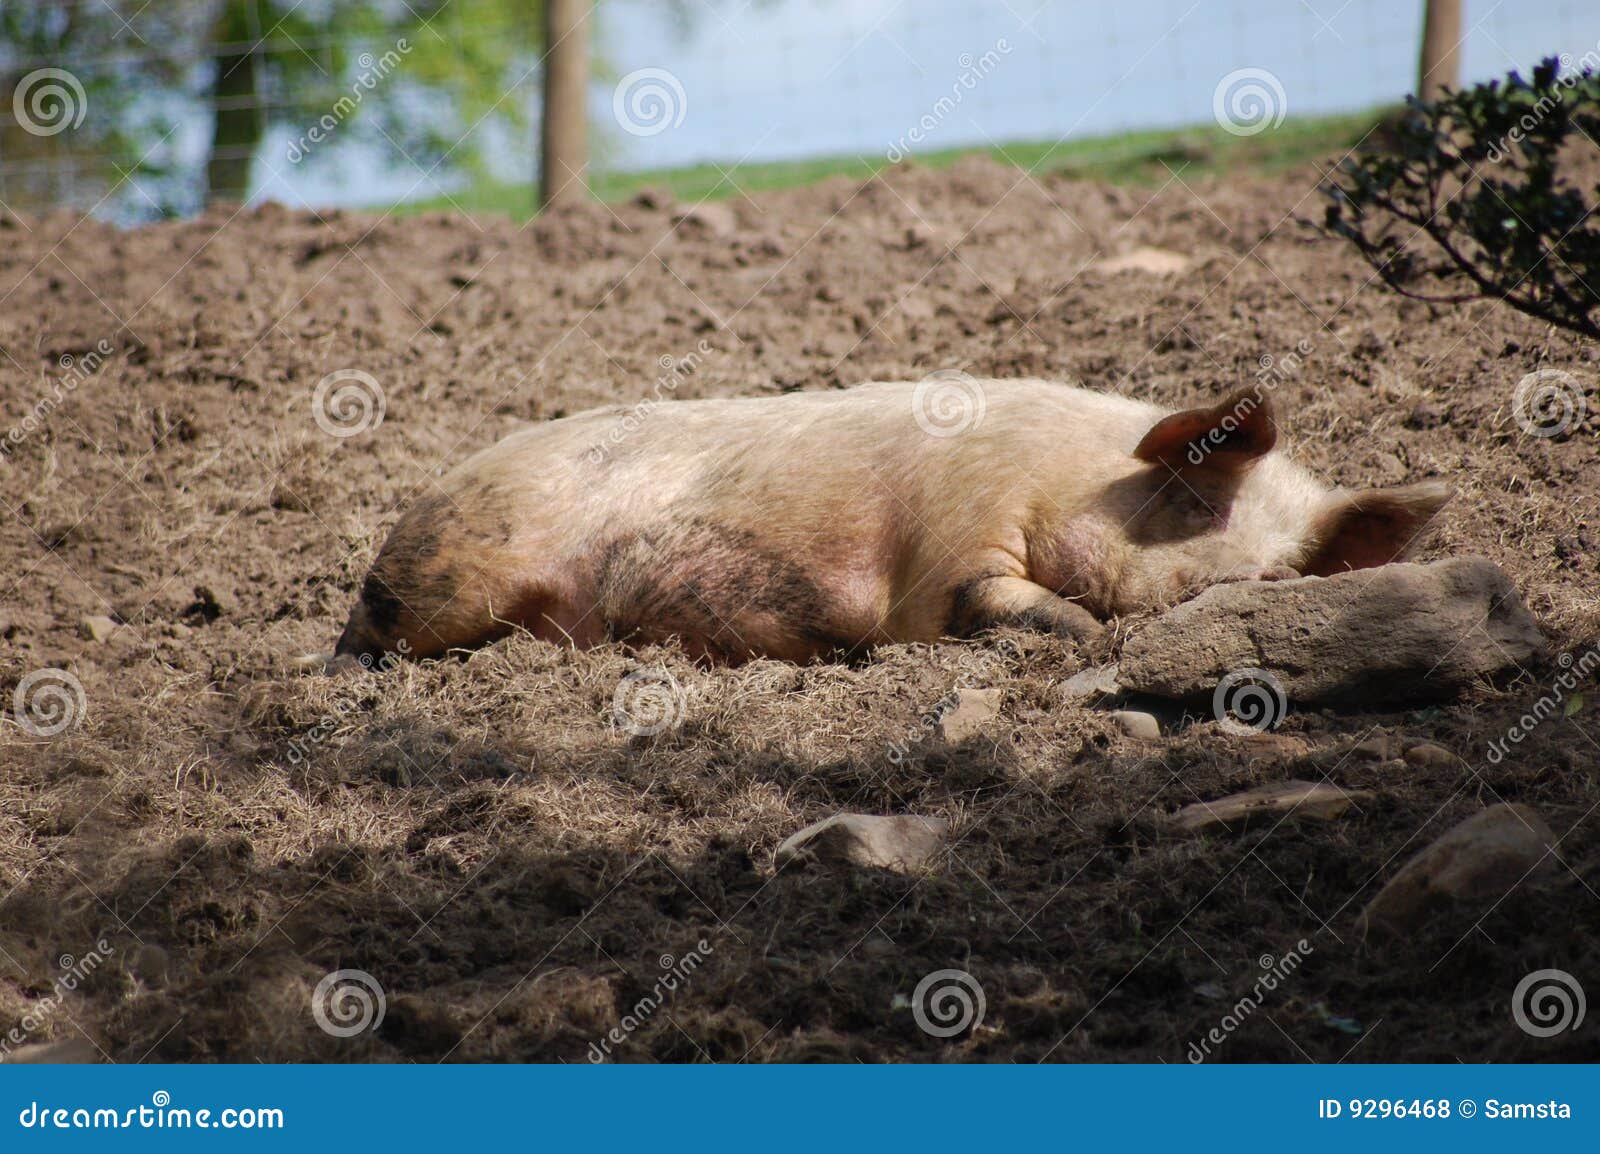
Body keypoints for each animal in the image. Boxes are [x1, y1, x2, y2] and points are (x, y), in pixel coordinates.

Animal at [333, 378, 1451, 664]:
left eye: (1296, 561)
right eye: (1193, 502)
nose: (1261, 583)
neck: (1067, 482)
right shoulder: (951, 545)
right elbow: (985, 599)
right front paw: (1079, 630)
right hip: (457, 567)